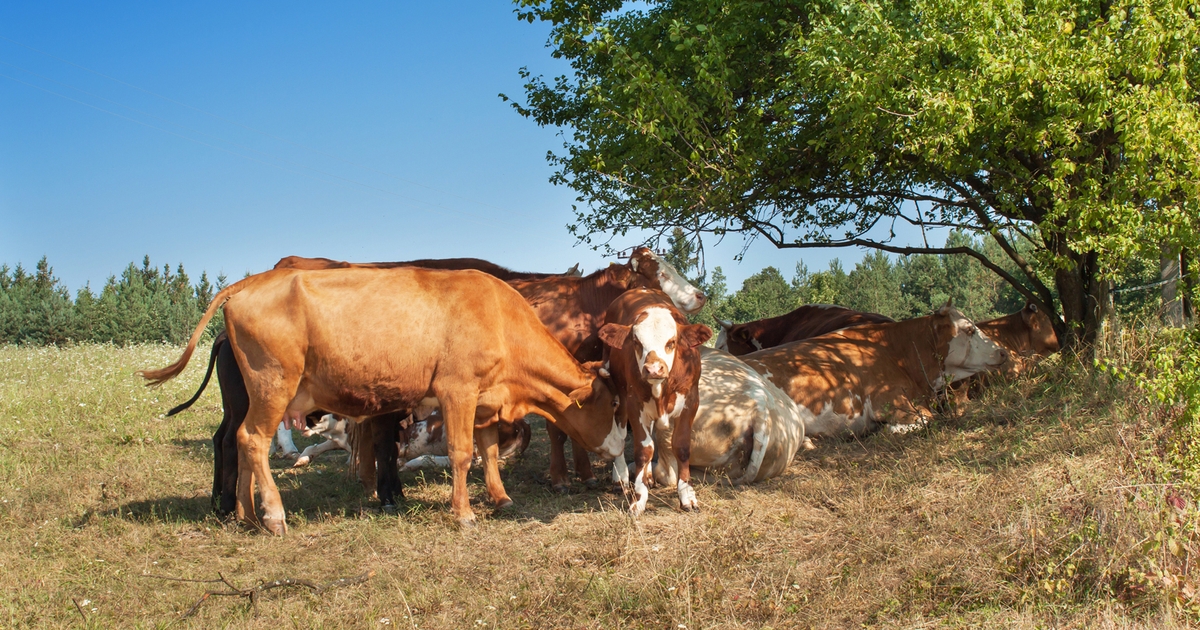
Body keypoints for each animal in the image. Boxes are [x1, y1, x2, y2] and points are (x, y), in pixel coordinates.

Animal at [142, 266, 625, 533]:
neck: (501, 318)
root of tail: (249, 283)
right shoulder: (457, 390)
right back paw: (273, 516)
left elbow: (487, 451)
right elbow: (461, 452)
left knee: (240, 442)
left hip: (253, 395)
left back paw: (245, 514)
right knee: (253, 440)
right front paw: (464, 514)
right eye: (612, 407)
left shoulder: (486, 397)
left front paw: (500, 498)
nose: (622, 448)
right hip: (271, 385)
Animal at [597, 289, 712, 515]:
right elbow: (643, 449)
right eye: (636, 342)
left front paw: (687, 496)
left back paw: (648, 476)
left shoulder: (691, 402)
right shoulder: (635, 405)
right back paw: (620, 477)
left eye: (672, 342)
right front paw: (639, 498)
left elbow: (682, 447)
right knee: (621, 434)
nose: (653, 369)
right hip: (620, 393)